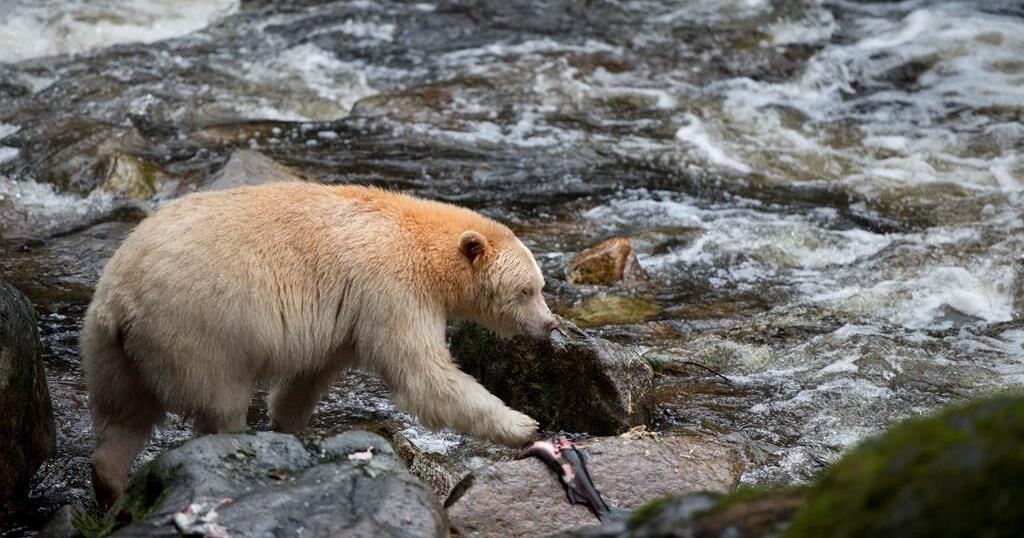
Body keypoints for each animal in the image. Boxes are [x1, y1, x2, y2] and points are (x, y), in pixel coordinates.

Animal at [80, 182, 560, 507]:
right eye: (526, 291)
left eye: (541, 286)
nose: (550, 325)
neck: (422, 241)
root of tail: (121, 300)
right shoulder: (392, 288)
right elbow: (424, 376)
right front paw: (523, 424)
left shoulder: (347, 315)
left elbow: (309, 375)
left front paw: (292, 425)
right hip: (198, 333)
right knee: (219, 406)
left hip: (111, 349)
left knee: (123, 413)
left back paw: (110, 485)